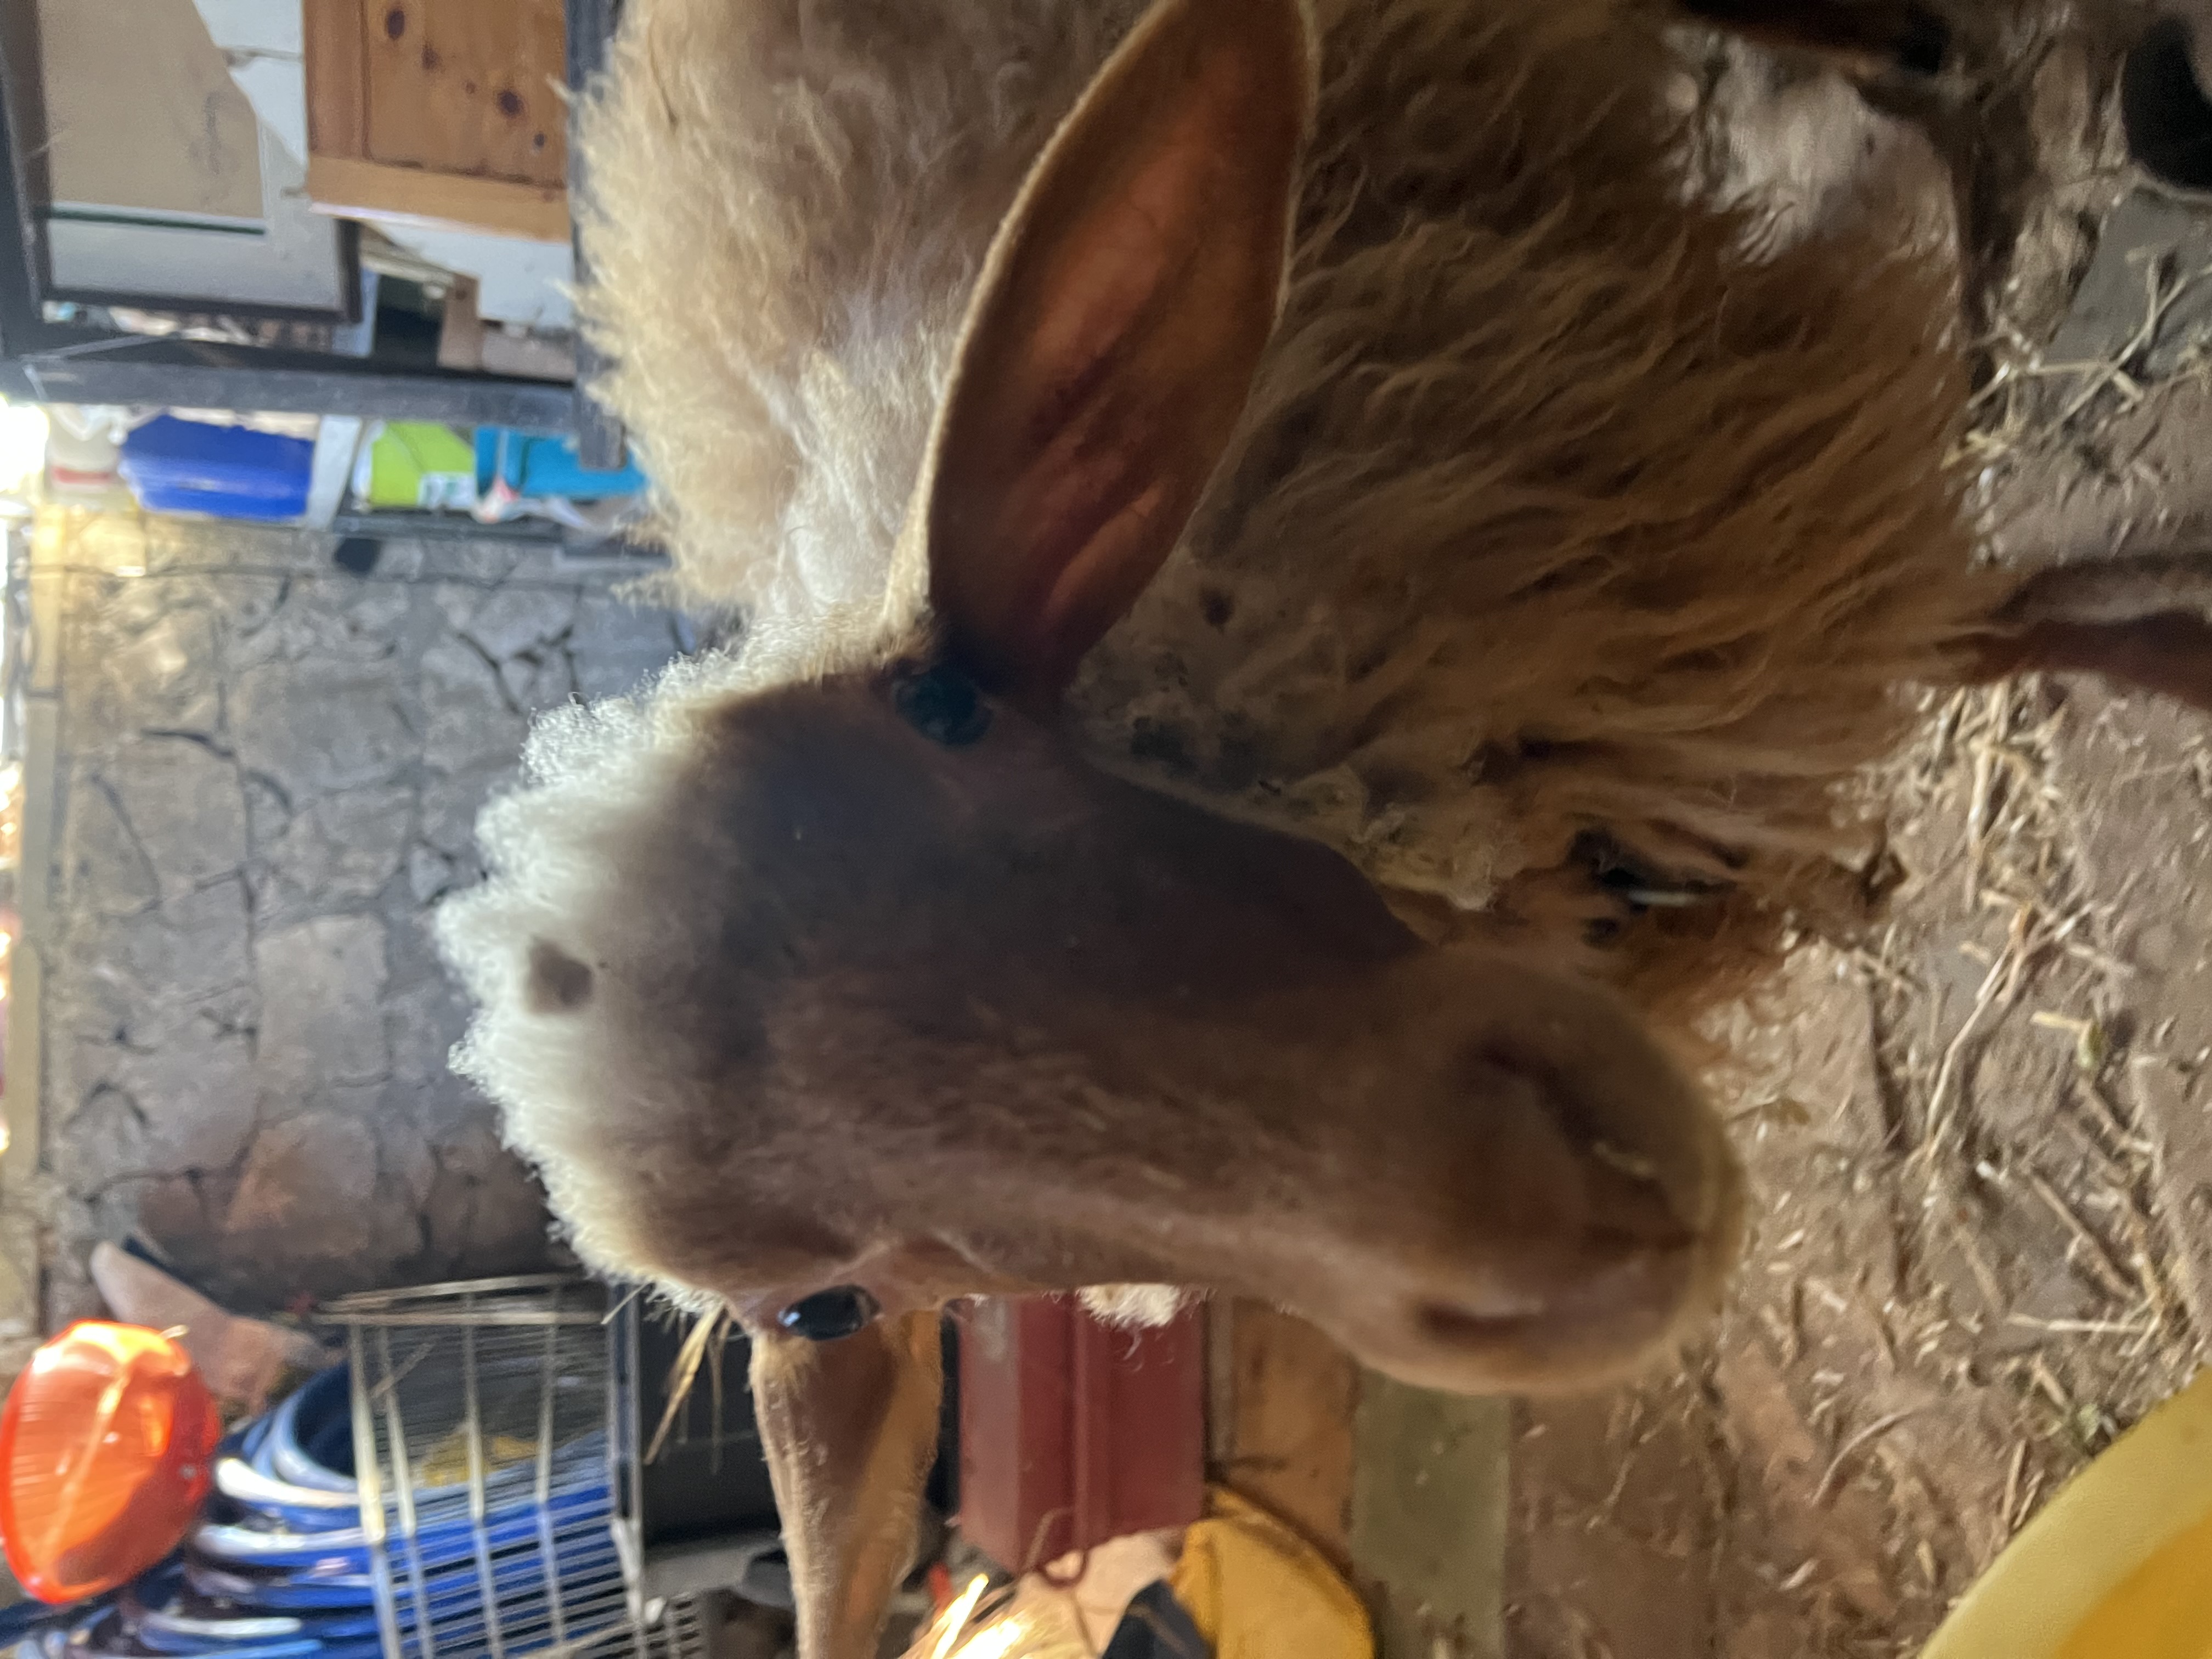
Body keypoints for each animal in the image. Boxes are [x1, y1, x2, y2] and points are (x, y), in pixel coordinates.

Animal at [432, 0, 2212, 1652]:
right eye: (821, 1310)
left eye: (948, 707)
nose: (1557, 1233)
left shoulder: (1734, 523)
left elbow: (2000, 619)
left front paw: (2170, 632)